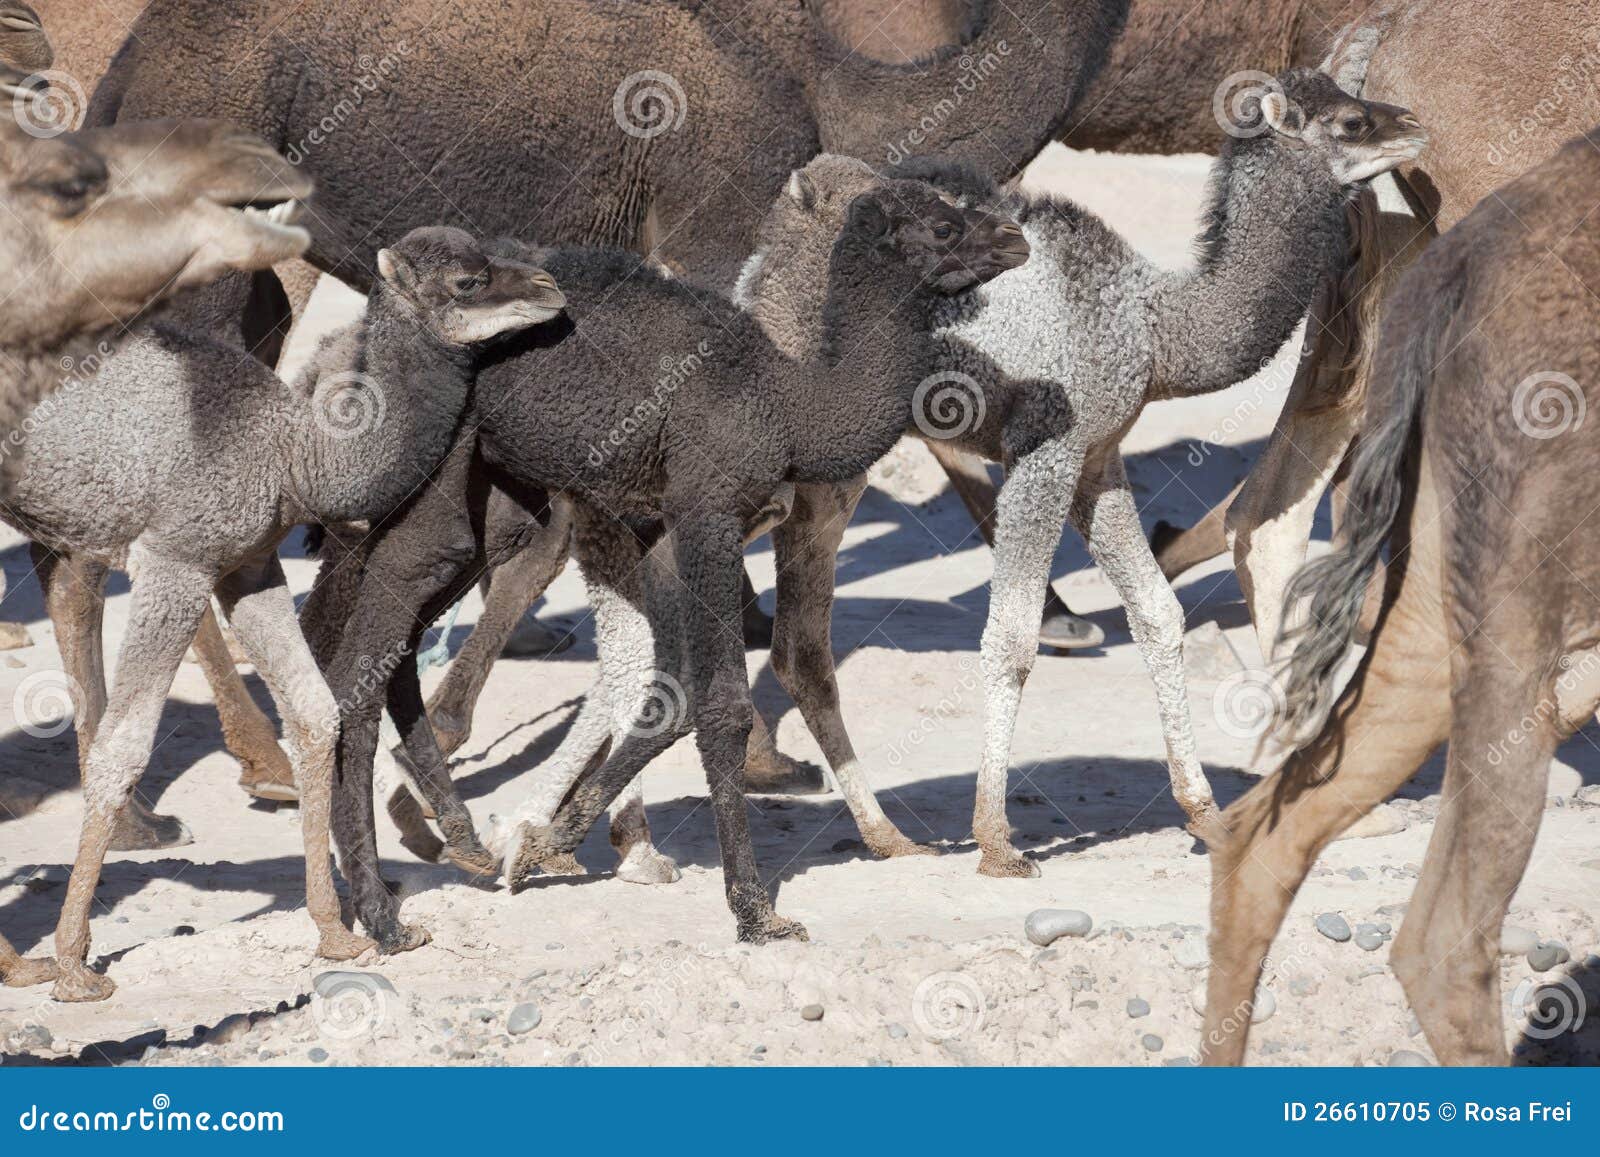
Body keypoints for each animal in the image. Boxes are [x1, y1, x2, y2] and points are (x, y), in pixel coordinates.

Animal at [3, 224, 565, 999]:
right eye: (467, 281)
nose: (551, 288)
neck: (296, 451)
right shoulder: (177, 560)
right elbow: (126, 744)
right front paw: (74, 965)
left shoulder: (249, 563)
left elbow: (315, 711)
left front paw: (338, 934)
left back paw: (13, 961)